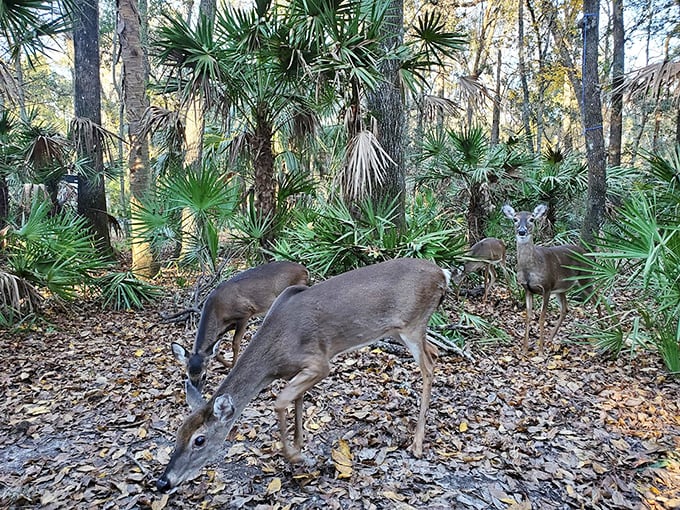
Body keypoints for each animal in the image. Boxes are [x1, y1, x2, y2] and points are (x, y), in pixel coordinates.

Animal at [171, 261, 309, 394]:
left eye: (204, 375)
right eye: (187, 375)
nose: (195, 392)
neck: (218, 311)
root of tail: (304, 269)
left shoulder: (244, 313)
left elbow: (235, 343)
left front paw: (232, 366)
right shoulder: (224, 328)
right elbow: (216, 351)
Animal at [502, 204, 595, 354]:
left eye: (532, 219)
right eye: (515, 219)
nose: (522, 231)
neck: (530, 269)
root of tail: (585, 253)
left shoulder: (547, 287)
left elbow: (541, 318)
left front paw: (539, 351)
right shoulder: (527, 289)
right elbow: (528, 317)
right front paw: (525, 349)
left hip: (585, 278)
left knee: (598, 299)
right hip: (562, 288)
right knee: (565, 309)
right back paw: (550, 339)